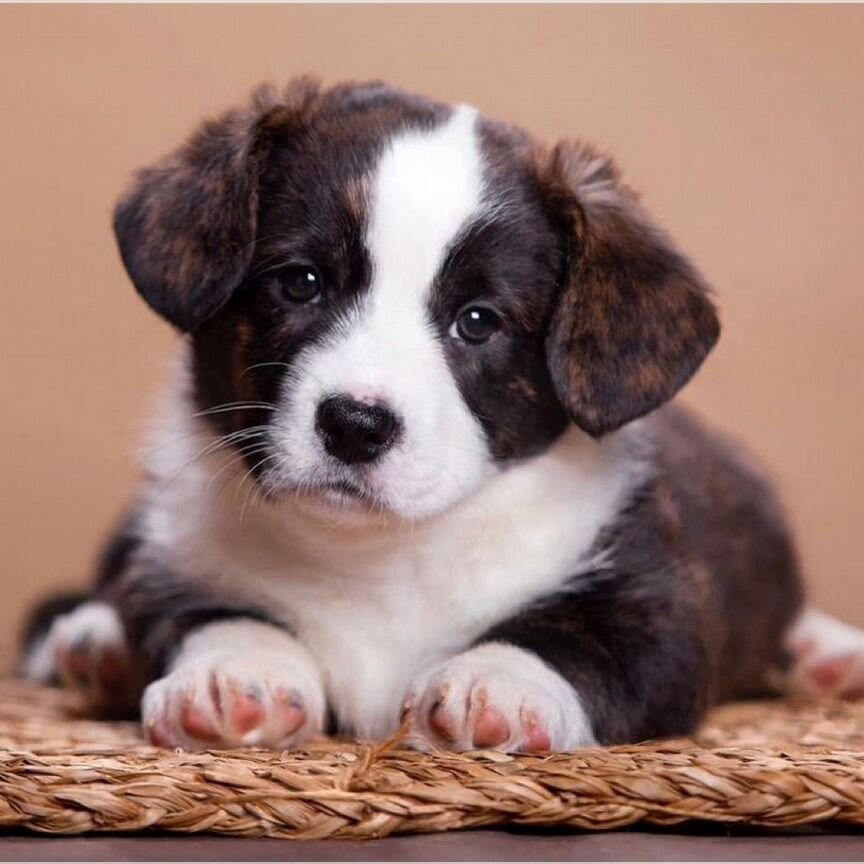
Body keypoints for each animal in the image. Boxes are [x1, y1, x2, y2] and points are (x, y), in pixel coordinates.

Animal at [20, 79, 864, 752]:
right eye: (302, 282)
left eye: (478, 322)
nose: (355, 426)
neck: (377, 556)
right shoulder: (170, 563)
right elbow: (211, 613)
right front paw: (233, 676)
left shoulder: (664, 614)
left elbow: (572, 642)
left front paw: (494, 685)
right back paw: (90, 646)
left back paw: (828, 655)